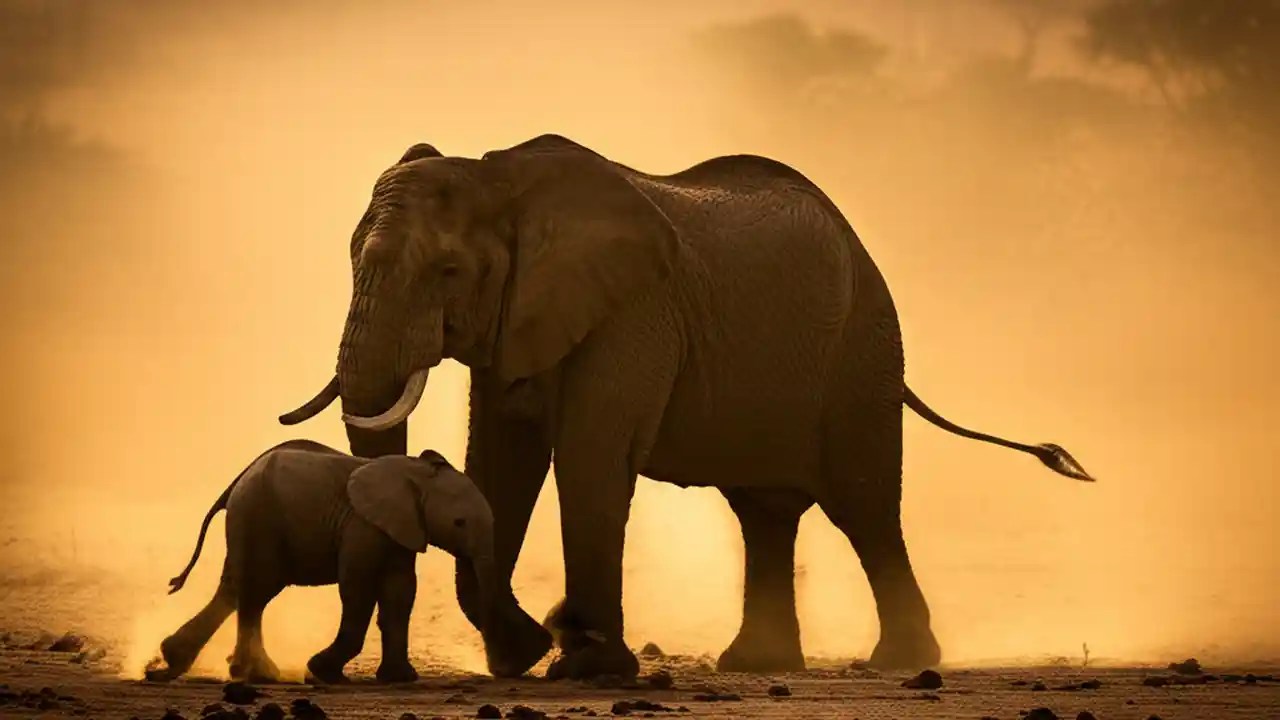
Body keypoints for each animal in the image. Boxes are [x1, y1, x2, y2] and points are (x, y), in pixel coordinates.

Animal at [145, 439, 552, 684]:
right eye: (459, 523)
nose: (503, 666)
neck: (415, 475)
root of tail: (237, 480)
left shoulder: (400, 529)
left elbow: (400, 591)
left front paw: (399, 678)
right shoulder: (363, 525)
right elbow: (356, 585)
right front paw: (322, 672)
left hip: (253, 519)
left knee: (240, 589)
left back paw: (179, 664)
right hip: (257, 516)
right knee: (255, 590)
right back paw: (254, 674)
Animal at [279, 134, 1094, 679]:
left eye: (448, 271)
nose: (537, 637)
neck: (503, 178)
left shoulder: (634, 310)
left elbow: (589, 457)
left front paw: (583, 667)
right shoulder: (518, 320)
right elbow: (501, 462)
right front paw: (528, 655)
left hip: (864, 350)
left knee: (863, 505)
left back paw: (898, 663)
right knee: (764, 511)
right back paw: (757, 666)